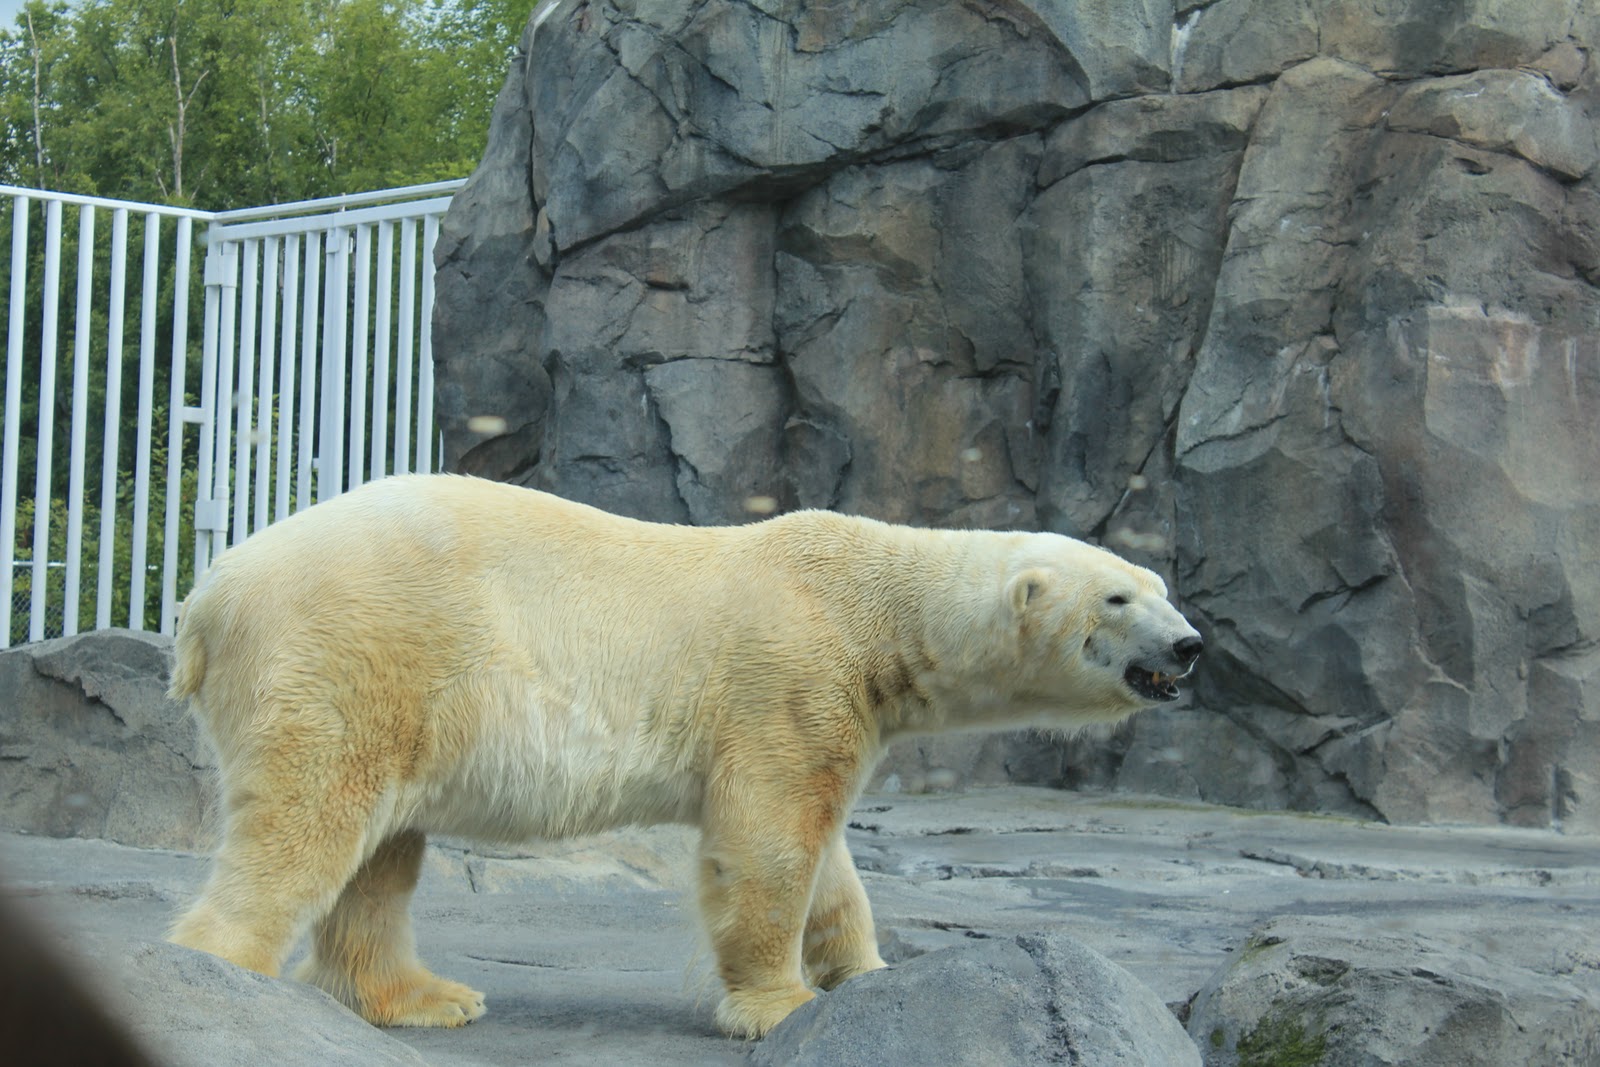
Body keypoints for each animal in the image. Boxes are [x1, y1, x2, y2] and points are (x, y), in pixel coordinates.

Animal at [167, 473, 1202, 1039]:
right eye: (1117, 598)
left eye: (1159, 583)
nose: (1191, 645)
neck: (870, 603)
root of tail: (210, 593)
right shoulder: (788, 678)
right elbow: (770, 840)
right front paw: (779, 1004)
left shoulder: (834, 705)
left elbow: (831, 861)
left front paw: (867, 973)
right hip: (357, 645)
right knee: (309, 818)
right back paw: (222, 971)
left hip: (401, 692)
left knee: (380, 852)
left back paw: (425, 996)